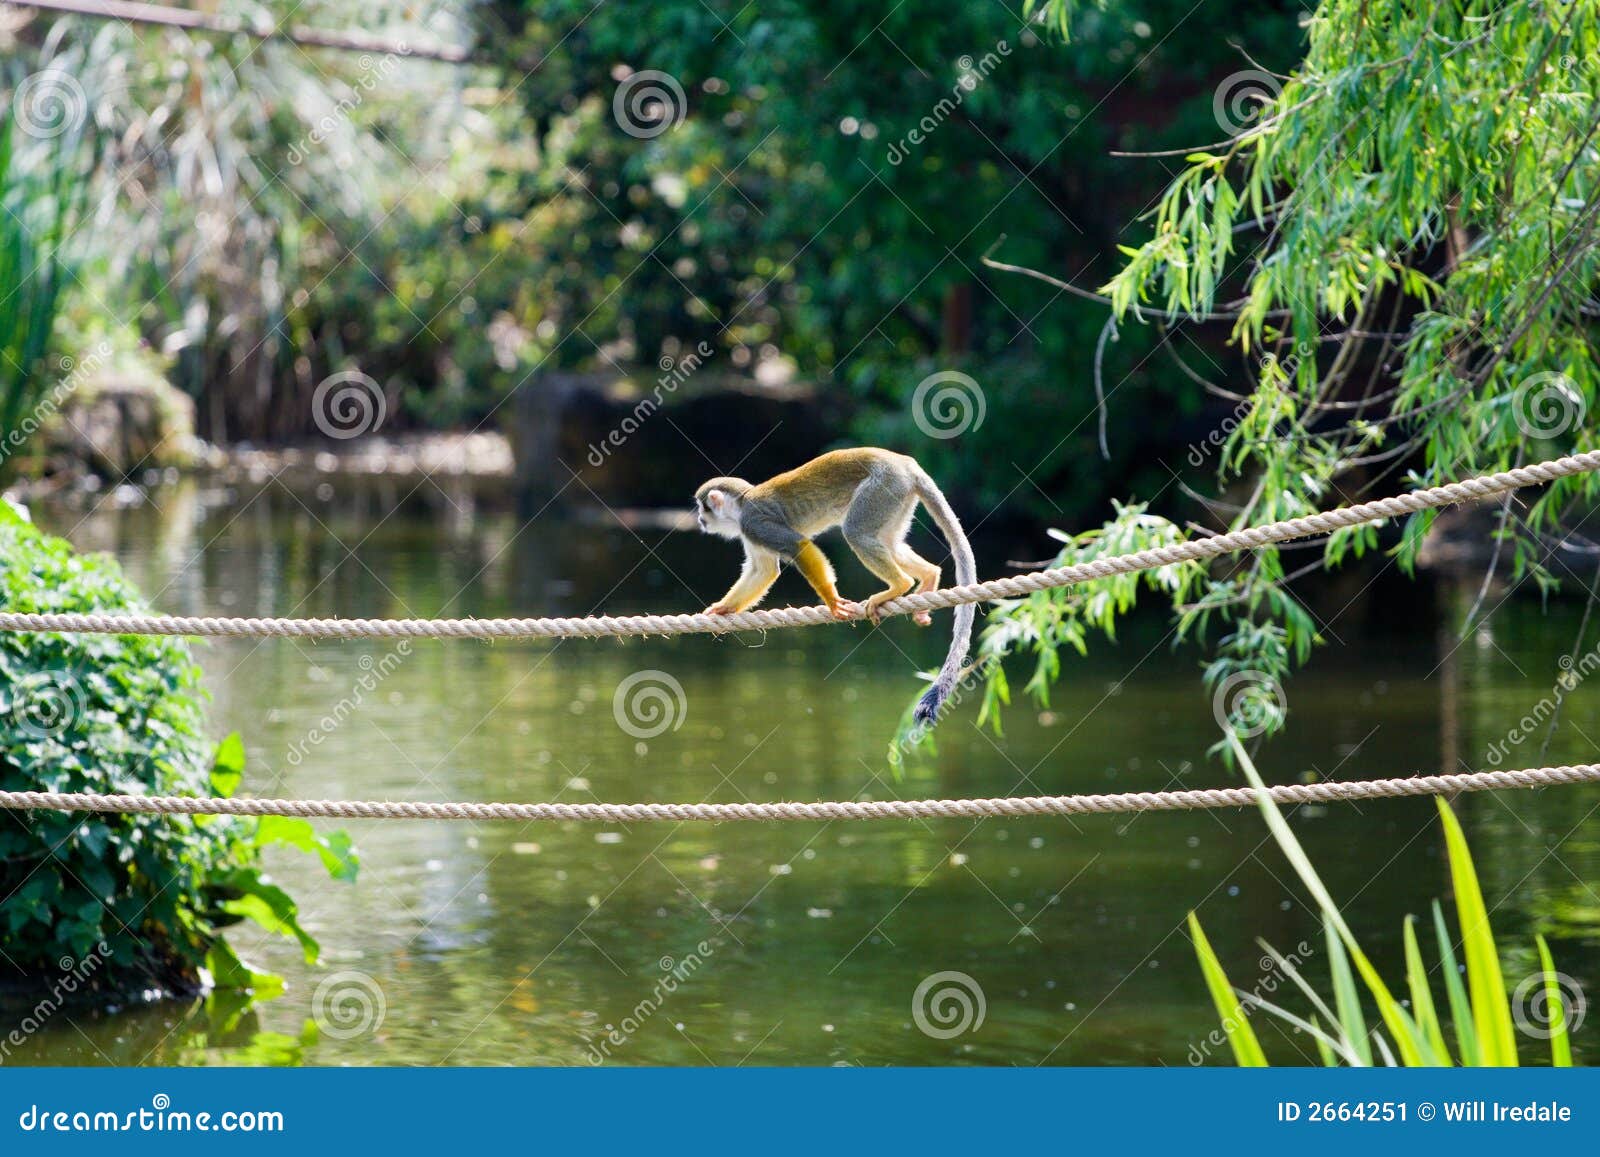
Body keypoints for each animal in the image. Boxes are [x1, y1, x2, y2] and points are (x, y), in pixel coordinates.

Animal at [694, 447, 977, 726]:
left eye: (702, 507)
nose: (699, 519)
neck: (740, 507)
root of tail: (906, 464)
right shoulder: (750, 532)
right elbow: (763, 570)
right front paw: (722, 609)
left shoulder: (754, 523)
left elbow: (798, 546)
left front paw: (831, 600)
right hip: (898, 495)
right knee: (888, 541)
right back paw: (929, 575)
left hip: (884, 486)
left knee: (855, 532)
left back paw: (900, 585)